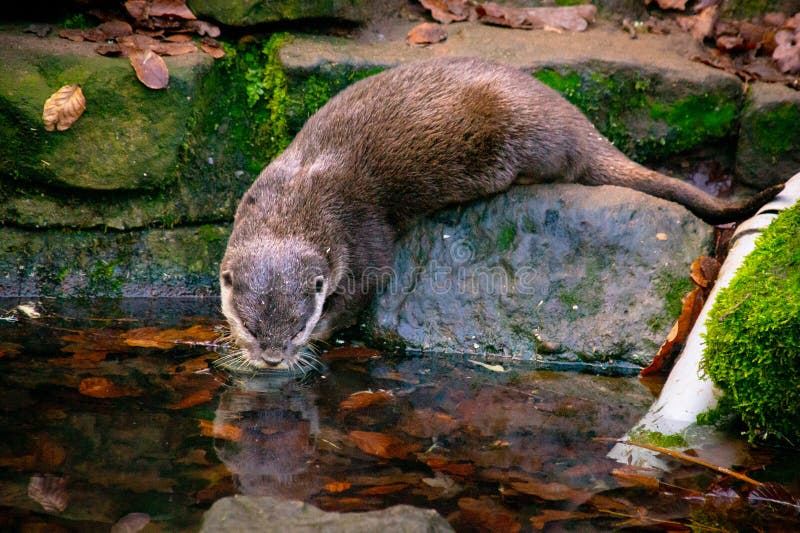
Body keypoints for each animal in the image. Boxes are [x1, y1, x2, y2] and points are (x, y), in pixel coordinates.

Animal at [220, 57, 782, 370]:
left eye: (296, 326)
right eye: (251, 326)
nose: (272, 357)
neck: (299, 195)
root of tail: (577, 121)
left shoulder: (361, 231)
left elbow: (365, 289)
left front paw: (323, 335)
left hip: (514, 136)